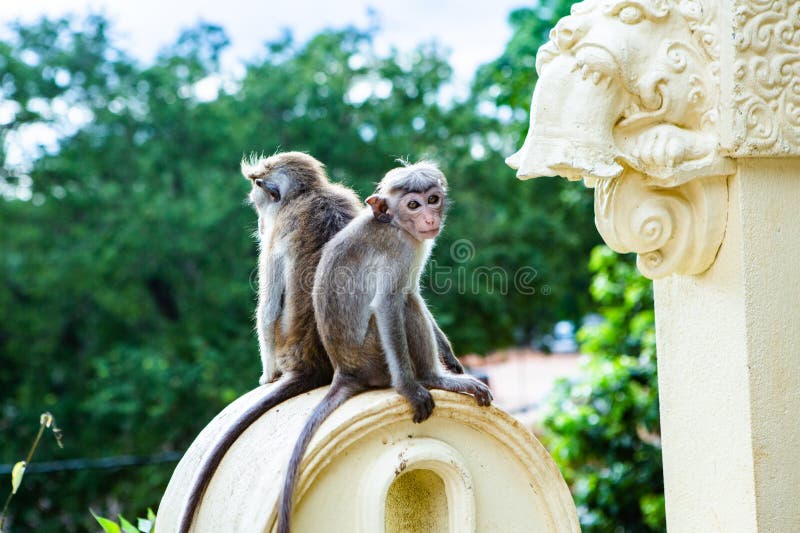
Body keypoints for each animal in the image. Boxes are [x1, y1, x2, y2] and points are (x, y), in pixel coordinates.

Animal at [176, 152, 362, 533]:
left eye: (259, 199)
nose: (259, 222)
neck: (309, 194)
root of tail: (312, 365)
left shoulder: (279, 234)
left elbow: (269, 306)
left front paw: (265, 376)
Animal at [277, 161, 492, 533]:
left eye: (433, 199)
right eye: (413, 205)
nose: (429, 217)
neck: (394, 224)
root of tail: (346, 371)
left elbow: (412, 293)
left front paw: (450, 356)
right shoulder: (399, 250)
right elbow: (390, 303)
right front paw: (412, 387)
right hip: (374, 356)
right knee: (404, 303)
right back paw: (434, 378)